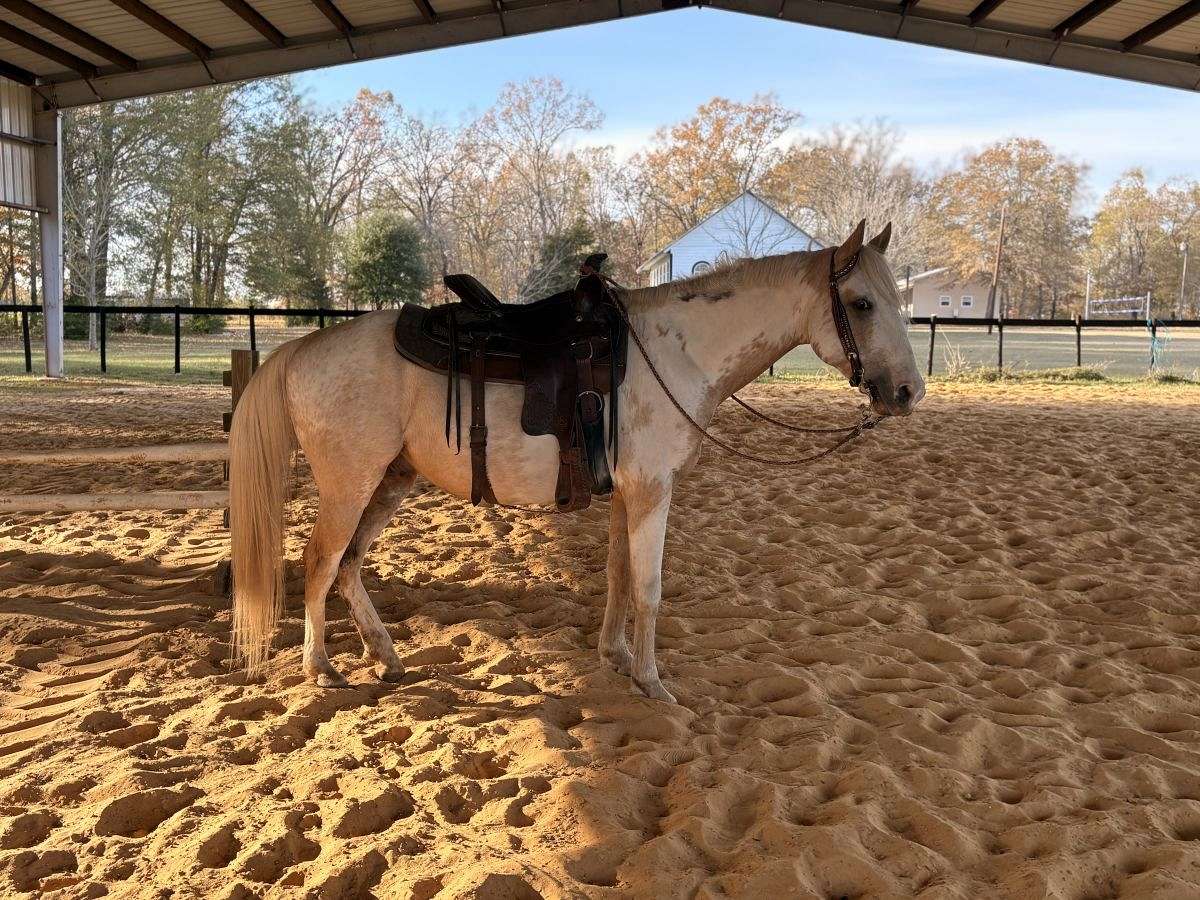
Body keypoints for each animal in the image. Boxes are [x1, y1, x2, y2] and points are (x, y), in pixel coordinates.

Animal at [228, 219, 924, 703]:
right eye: (862, 303)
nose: (908, 392)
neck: (673, 352)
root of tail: (303, 349)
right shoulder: (653, 489)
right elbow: (649, 586)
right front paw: (652, 682)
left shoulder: (627, 491)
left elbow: (618, 576)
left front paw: (614, 657)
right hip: (351, 483)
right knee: (320, 561)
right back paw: (321, 669)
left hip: (391, 481)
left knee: (348, 564)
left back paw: (385, 654)